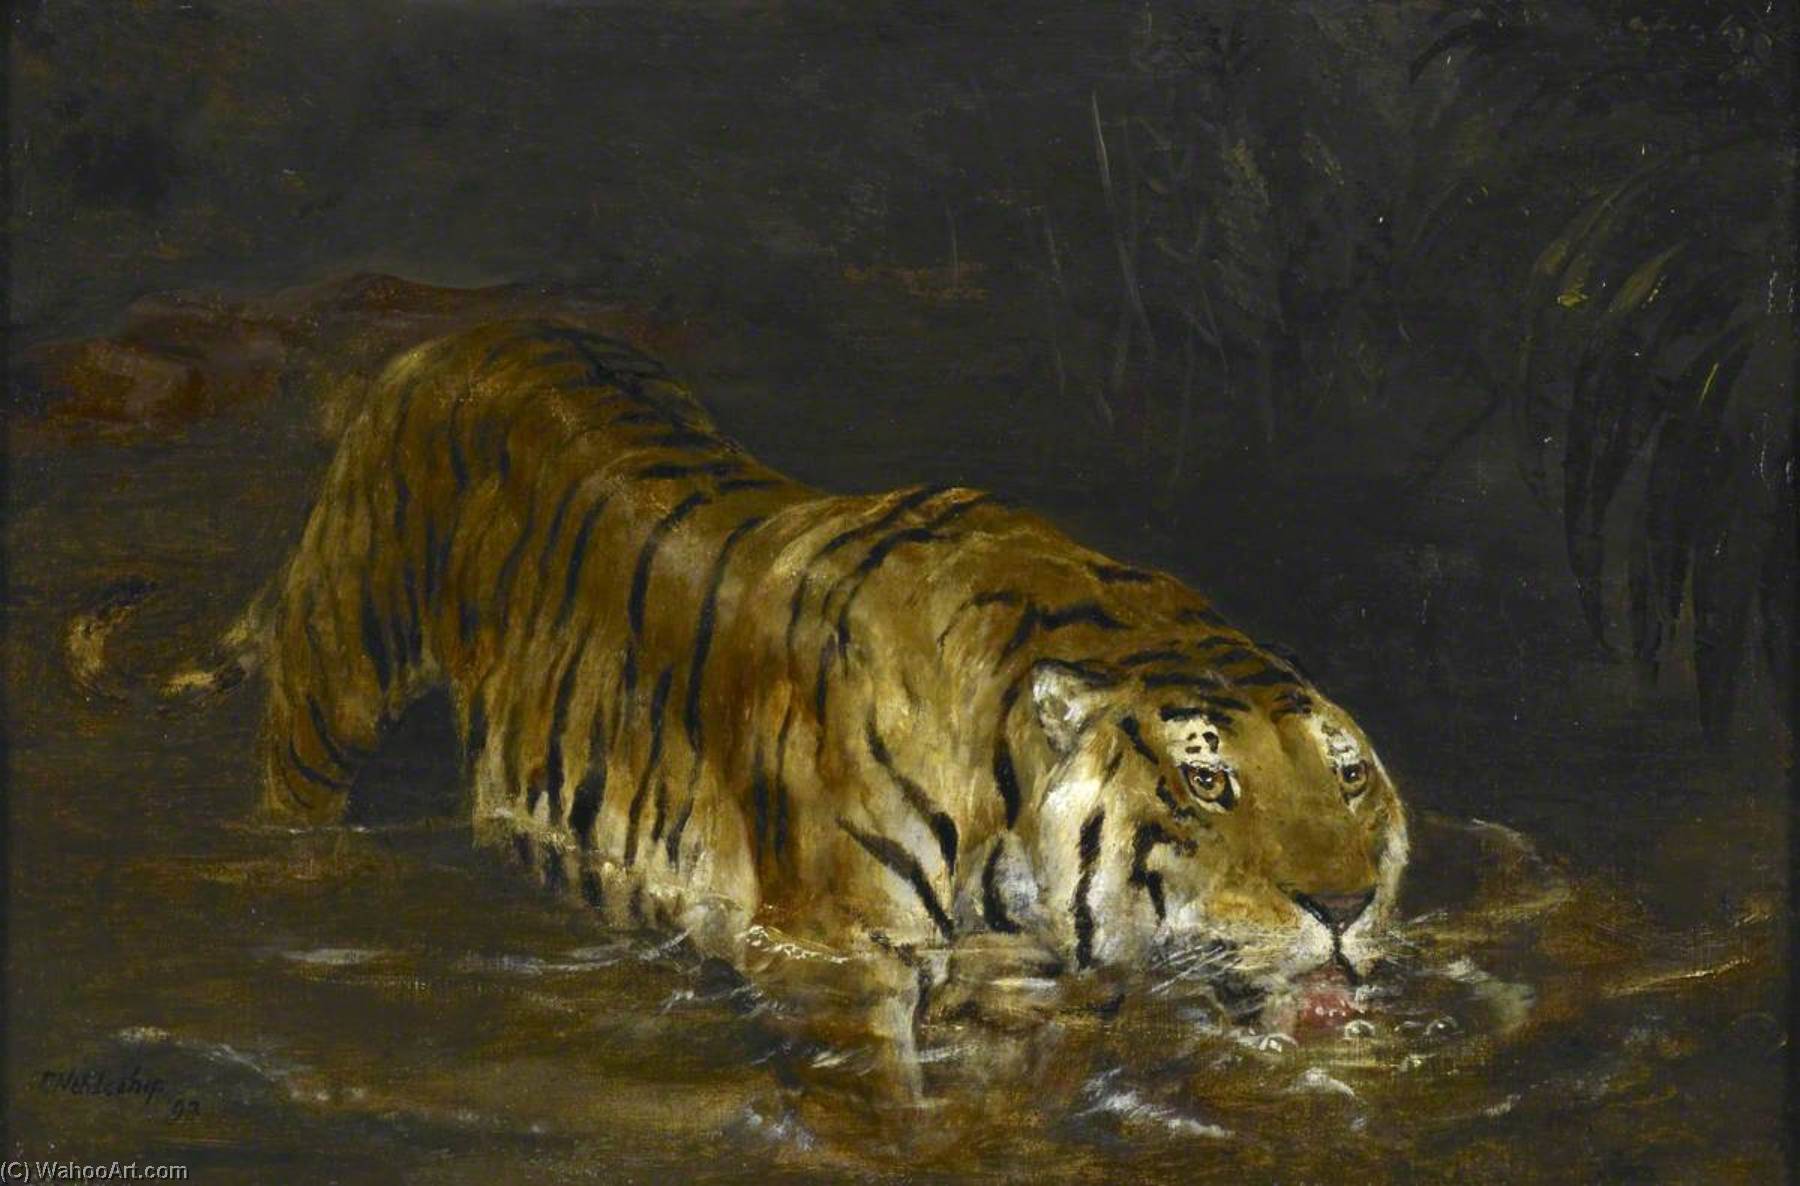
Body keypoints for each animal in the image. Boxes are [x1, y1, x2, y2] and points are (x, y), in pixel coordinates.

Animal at [71, 318, 1407, 1058]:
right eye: (1205, 781)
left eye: (1350, 779)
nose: (1346, 908)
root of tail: (431, 350)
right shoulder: (830, 956)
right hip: (331, 699)